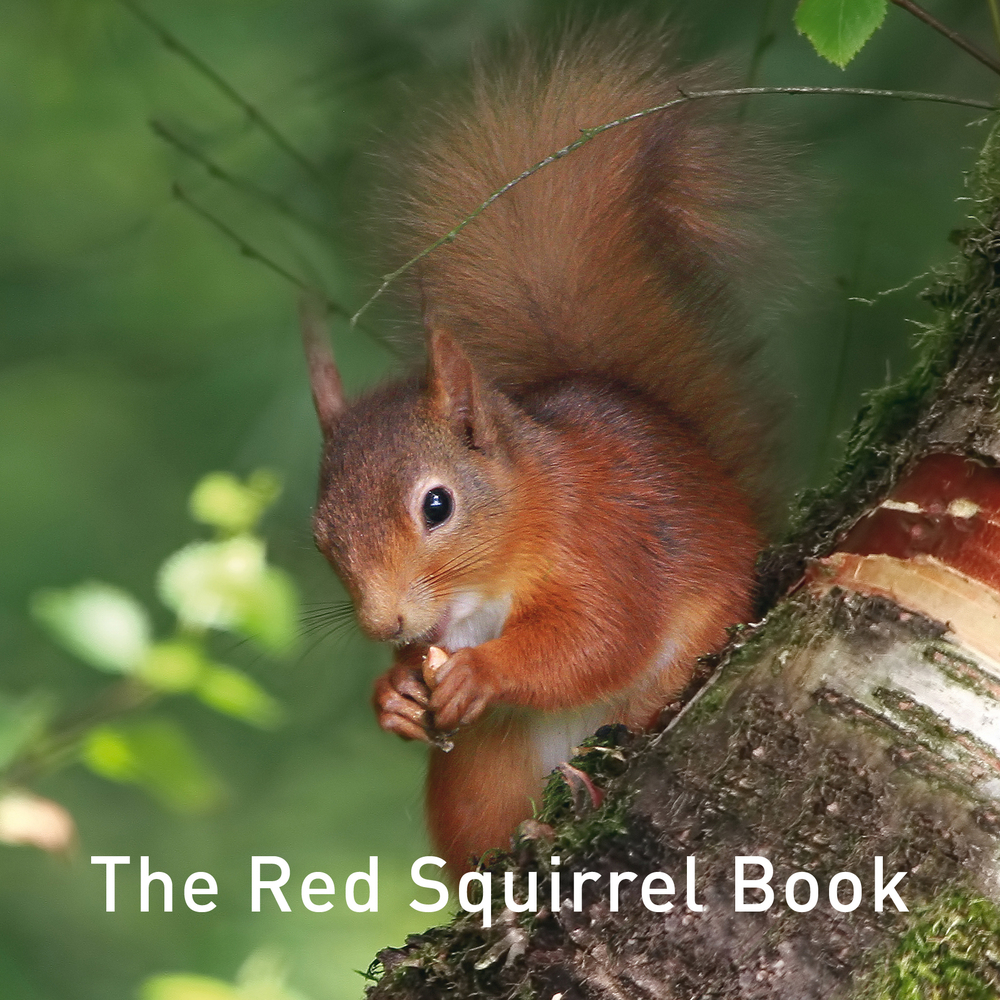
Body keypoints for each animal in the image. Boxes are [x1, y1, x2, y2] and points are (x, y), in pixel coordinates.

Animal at [304, 26, 783, 875]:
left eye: (437, 504)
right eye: (320, 537)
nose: (385, 626)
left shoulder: (610, 541)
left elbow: (600, 635)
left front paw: (481, 672)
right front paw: (394, 693)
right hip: (482, 773)